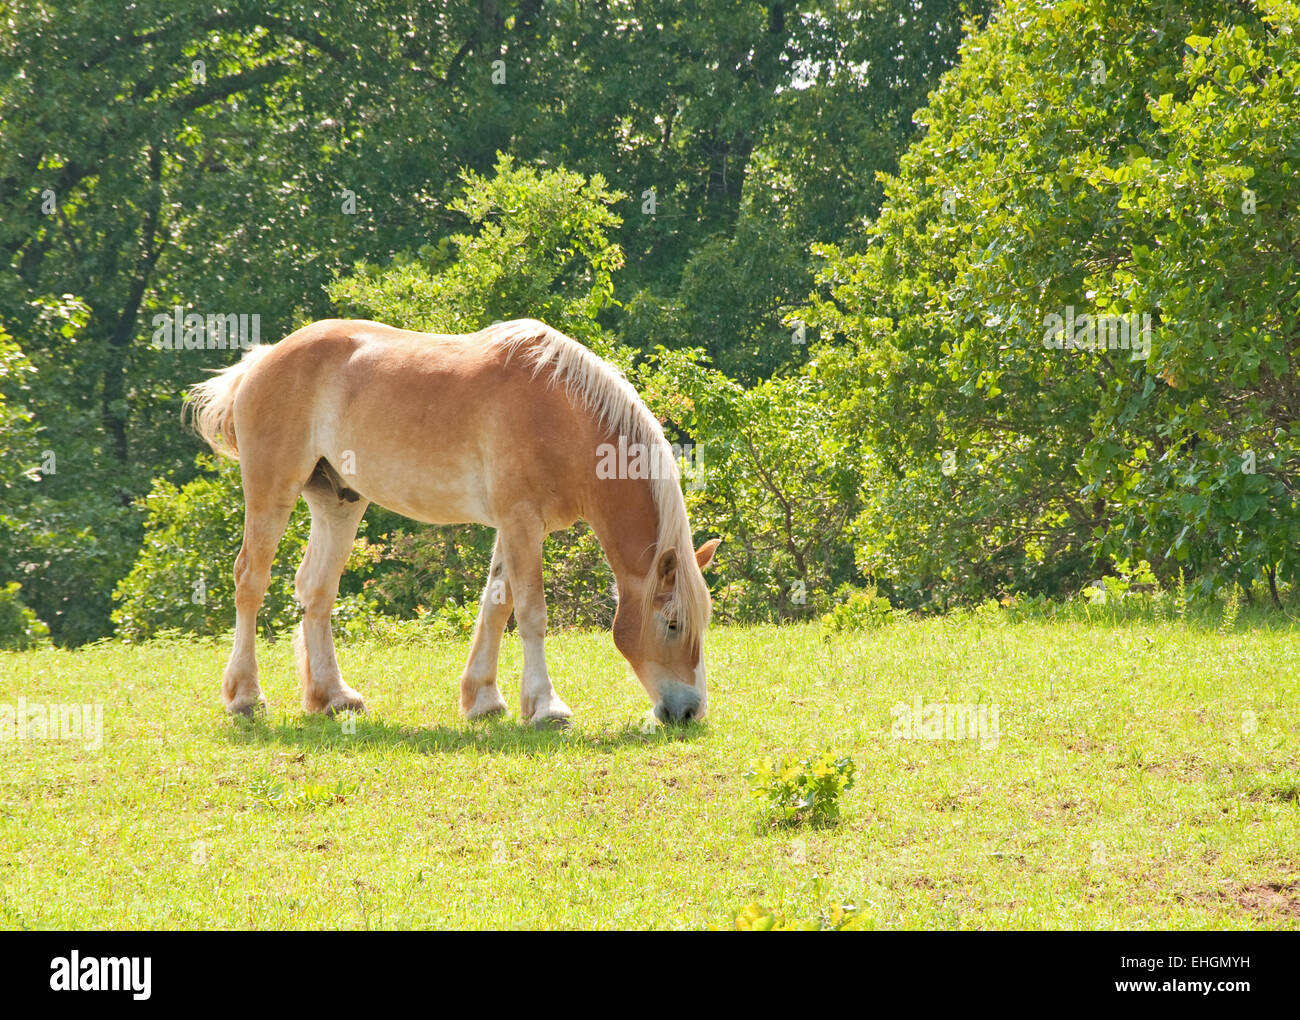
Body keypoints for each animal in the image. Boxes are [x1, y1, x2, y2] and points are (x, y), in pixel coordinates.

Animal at [183, 318, 720, 726]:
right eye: (673, 623)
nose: (689, 711)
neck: (564, 413)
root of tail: (262, 359)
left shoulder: (517, 526)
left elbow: (497, 605)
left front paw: (483, 698)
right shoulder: (521, 521)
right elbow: (531, 613)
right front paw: (546, 707)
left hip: (338, 501)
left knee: (316, 590)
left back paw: (333, 697)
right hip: (272, 488)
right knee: (250, 581)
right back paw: (245, 696)